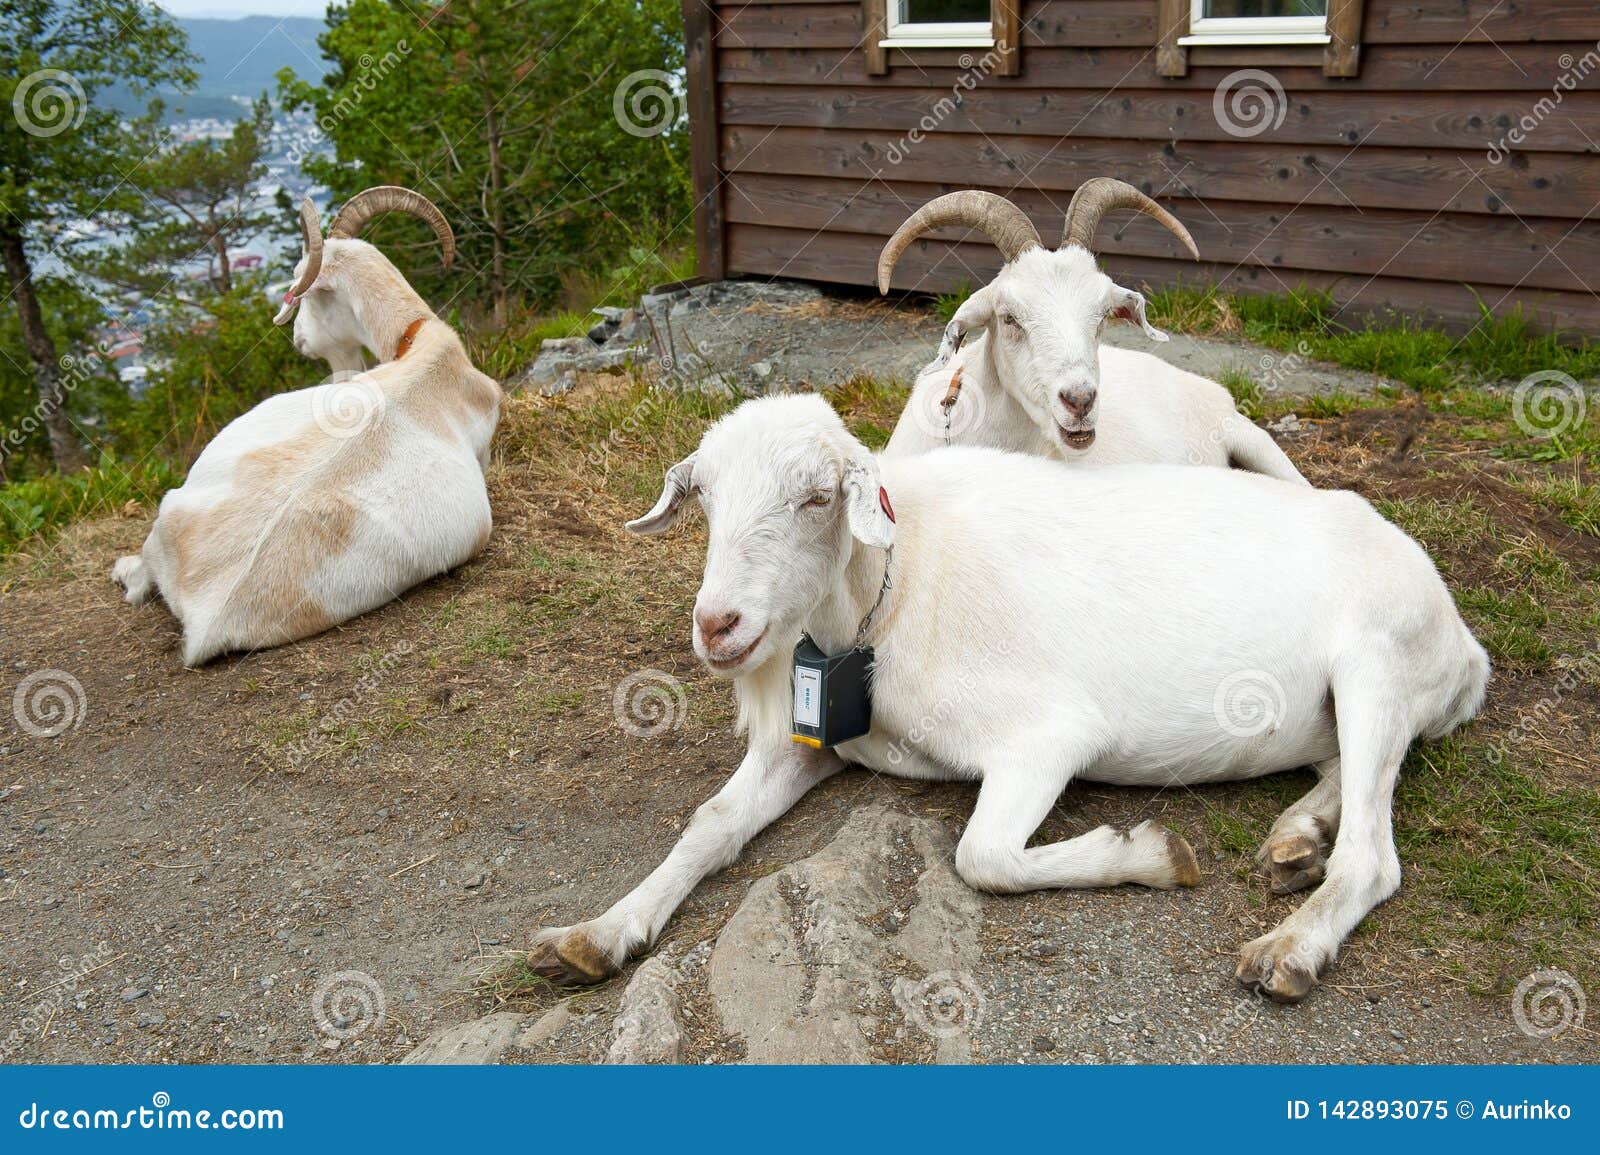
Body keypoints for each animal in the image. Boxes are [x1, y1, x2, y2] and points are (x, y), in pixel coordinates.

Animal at [111, 188, 501, 666]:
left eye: (305, 295)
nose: (299, 339)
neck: (426, 346)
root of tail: (206, 616)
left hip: (167, 513)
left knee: (138, 583)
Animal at [528, 393, 1487, 1003]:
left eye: (815, 497)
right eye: (706, 499)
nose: (718, 625)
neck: (895, 587)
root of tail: (1464, 641)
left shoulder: (1045, 735)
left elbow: (982, 855)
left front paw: (1153, 853)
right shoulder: (816, 742)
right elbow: (711, 823)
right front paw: (595, 934)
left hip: (1375, 663)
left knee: (1373, 855)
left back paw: (1291, 944)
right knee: (1342, 776)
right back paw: (1295, 836)